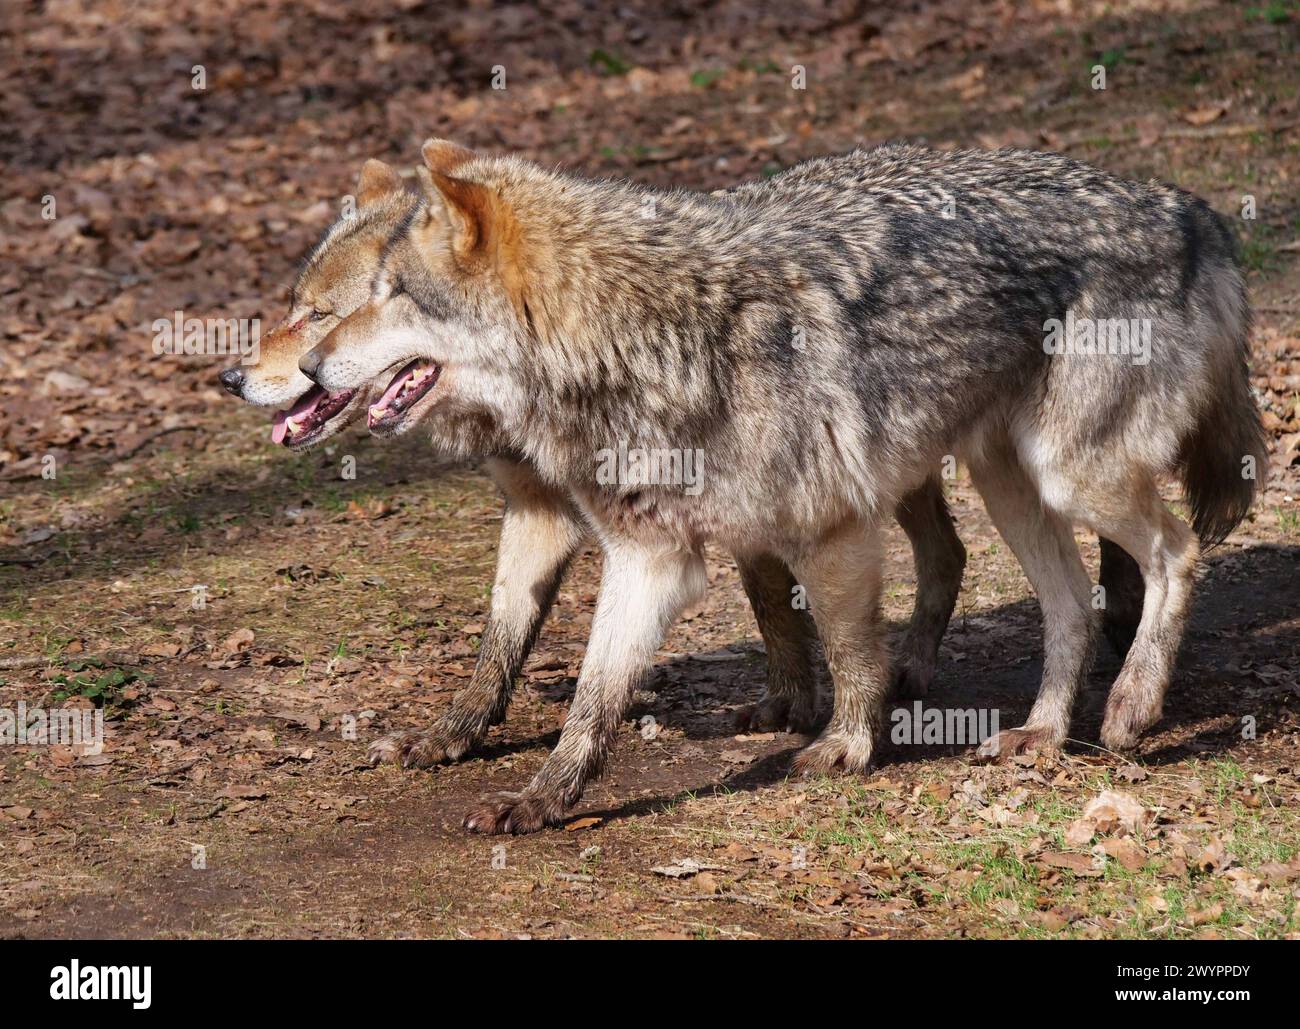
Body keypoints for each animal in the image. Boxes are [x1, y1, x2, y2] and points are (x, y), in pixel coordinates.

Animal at [220, 158, 982, 764]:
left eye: (323, 314)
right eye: (296, 307)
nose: (230, 378)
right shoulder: (538, 511)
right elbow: (501, 641)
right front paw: (453, 735)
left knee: (943, 553)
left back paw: (908, 669)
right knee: (938, 552)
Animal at [299, 139, 1264, 834]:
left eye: (384, 296)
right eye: (352, 298)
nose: (308, 368)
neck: (636, 334)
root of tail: (1190, 207)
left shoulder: (828, 528)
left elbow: (850, 652)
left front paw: (847, 746)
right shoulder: (648, 557)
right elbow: (592, 699)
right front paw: (545, 798)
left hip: (1072, 478)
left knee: (1177, 553)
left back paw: (1133, 706)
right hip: (1014, 487)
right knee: (1071, 604)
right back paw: (1044, 733)